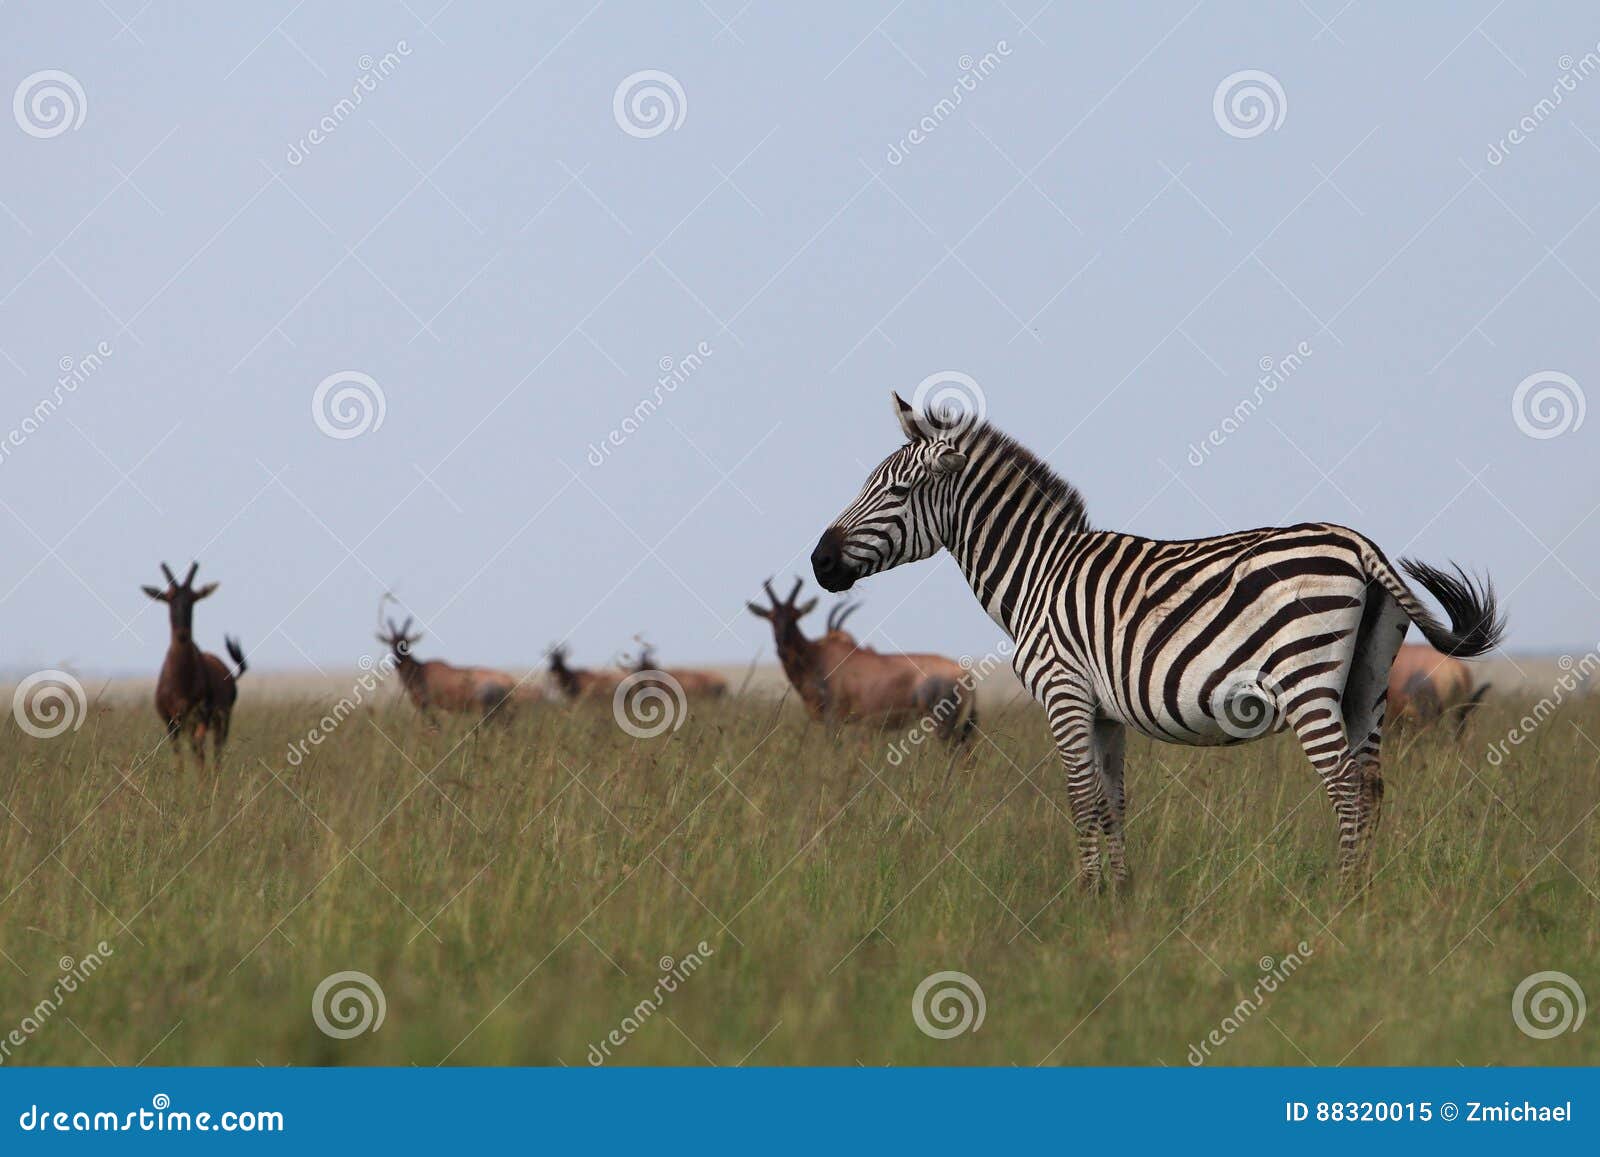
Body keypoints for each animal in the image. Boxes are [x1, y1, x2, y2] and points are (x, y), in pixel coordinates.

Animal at [809, 393, 1504, 887]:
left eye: (897, 491)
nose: (820, 561)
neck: (1038, 571)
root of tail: (1358, 543)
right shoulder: (1104, 710)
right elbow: (1112, 802)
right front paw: (1120, 896)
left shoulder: (1063, 694)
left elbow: (1081, 799)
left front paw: (1088, 898)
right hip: (1369, 685)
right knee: (1373, 786)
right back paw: (1364, 894)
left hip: (1307, 683)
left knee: (1344, 787)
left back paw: (1340, 896)